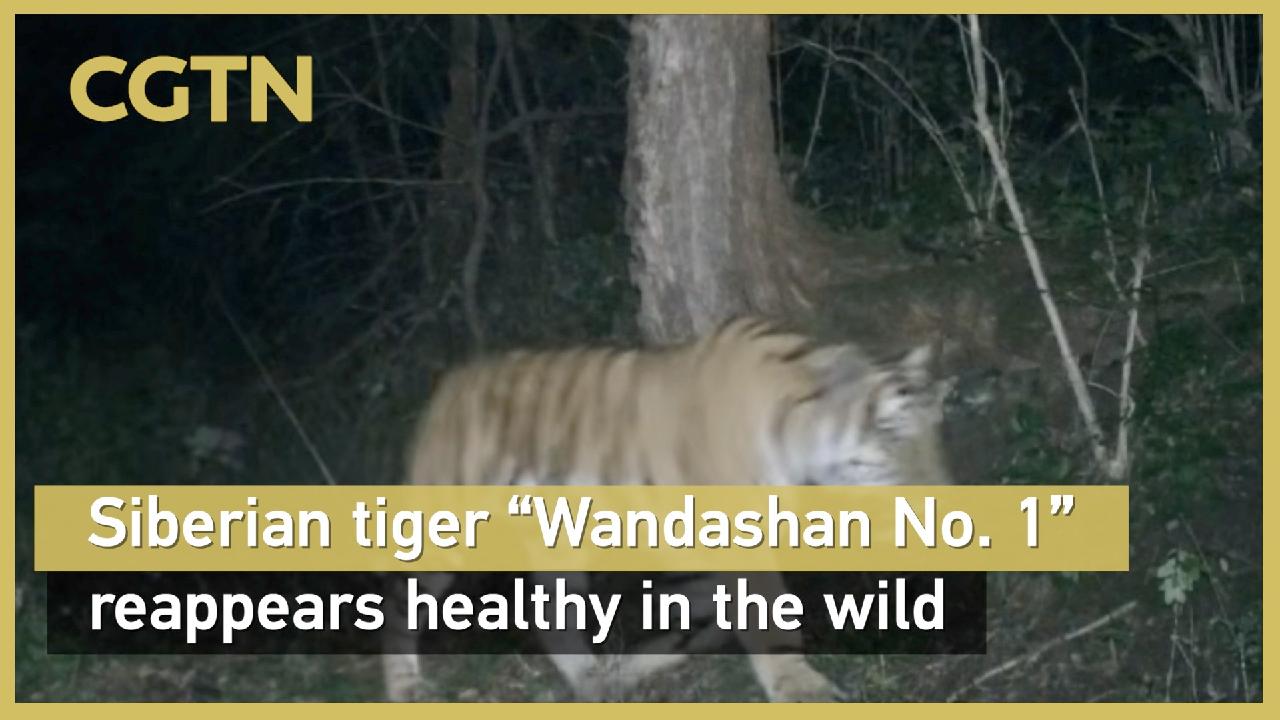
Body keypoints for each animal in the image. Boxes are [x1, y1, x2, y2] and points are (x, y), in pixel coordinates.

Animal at [382, 316, 954, 702]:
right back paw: (406, 689)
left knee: (551, 615)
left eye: (935, 435)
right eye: (893, 437)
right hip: (445, 524)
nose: (946, 495)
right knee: (397, 602)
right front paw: (800, 688)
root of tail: (449, 383)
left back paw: (604, 679)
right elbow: (767, 611)